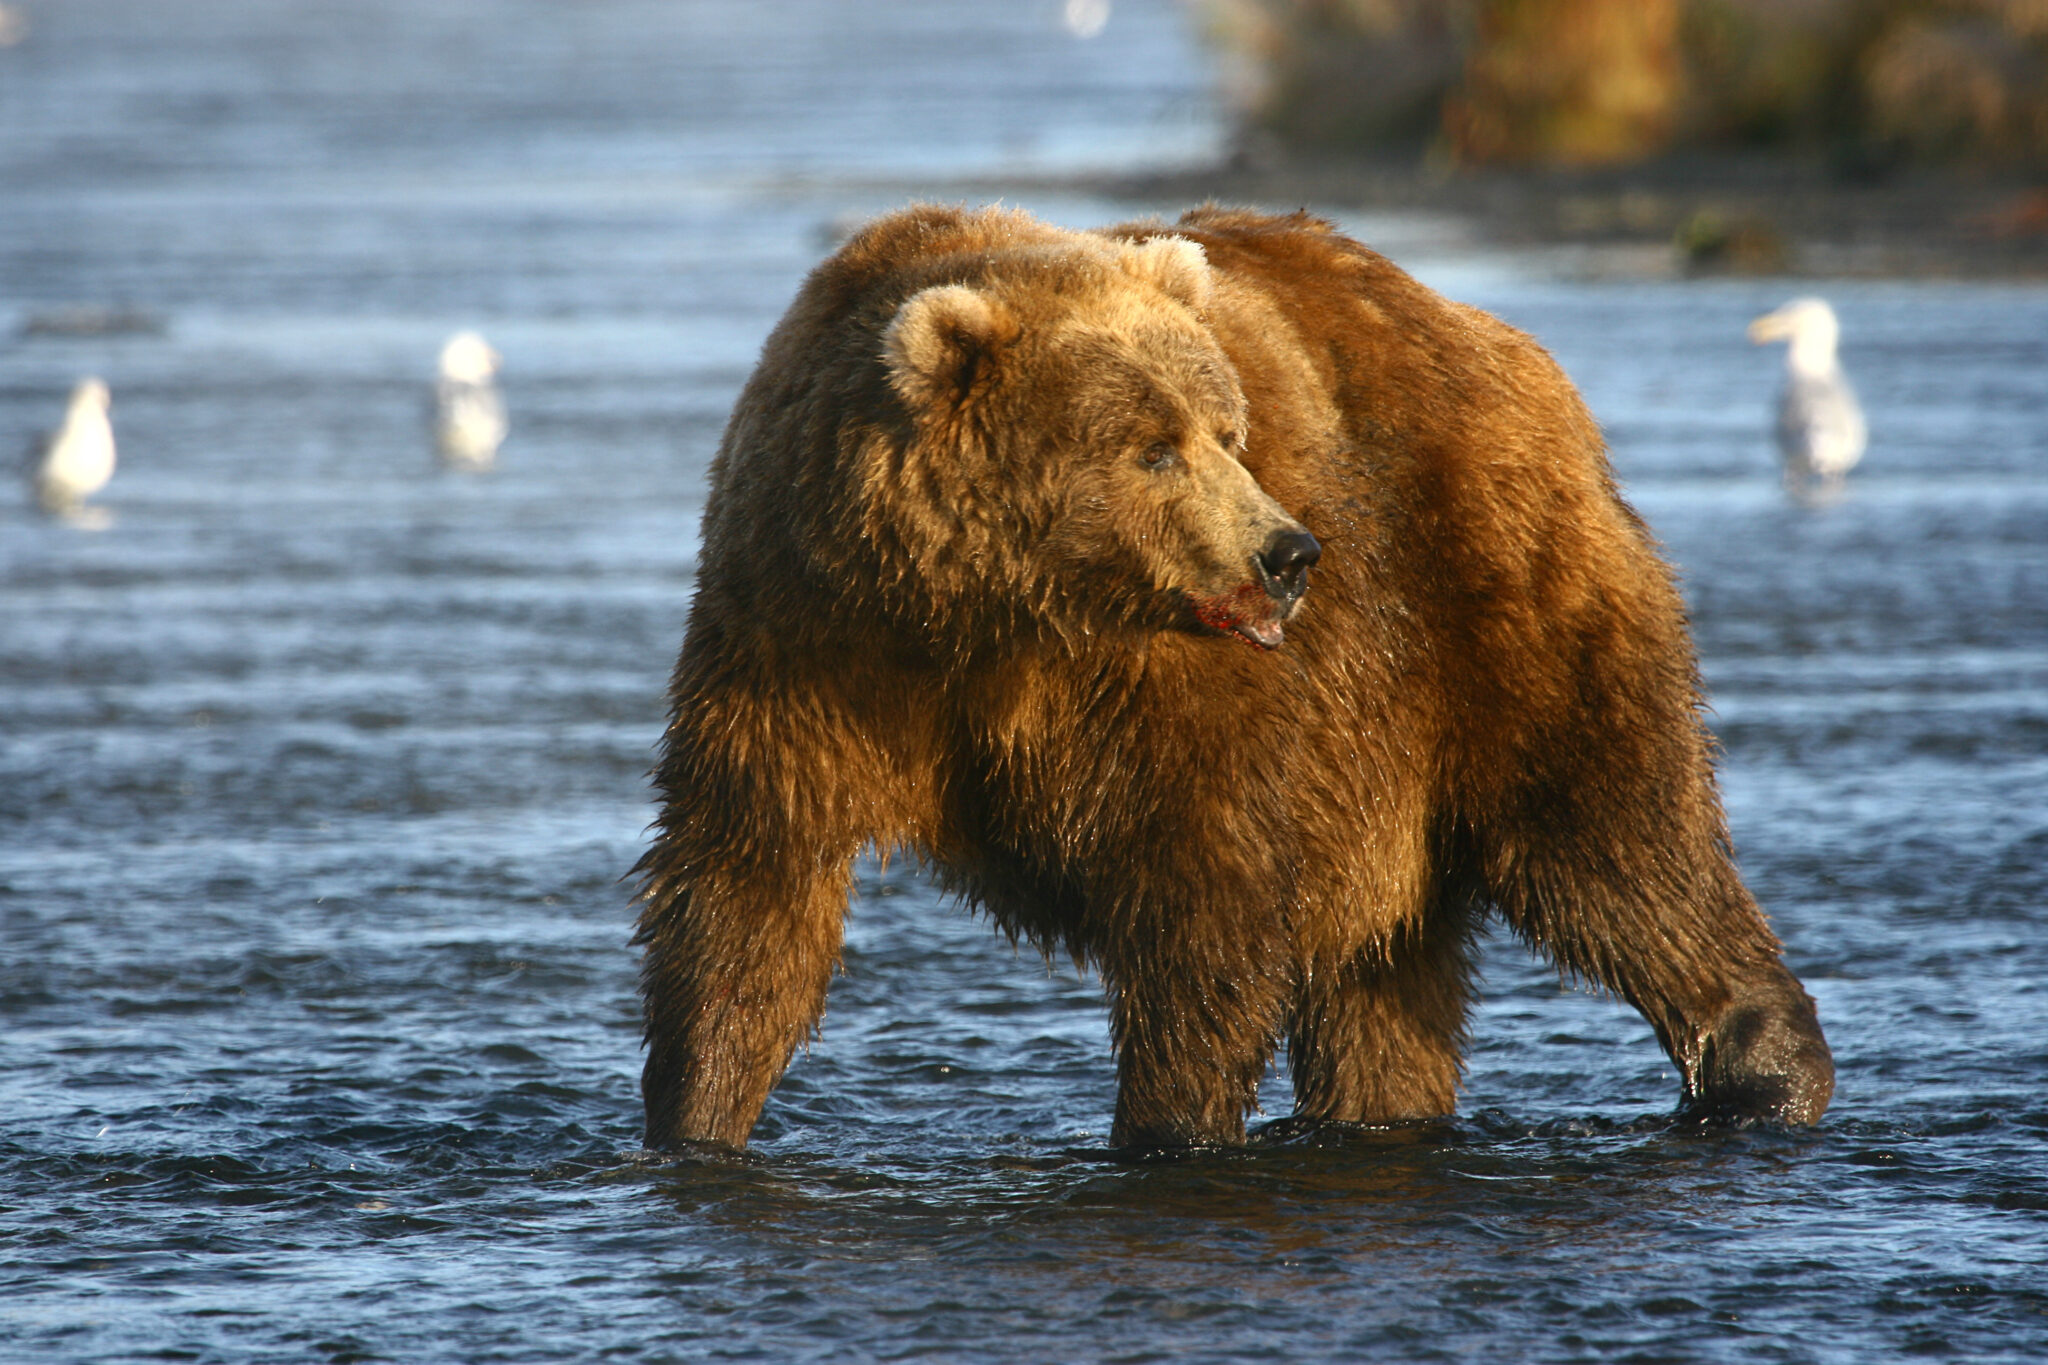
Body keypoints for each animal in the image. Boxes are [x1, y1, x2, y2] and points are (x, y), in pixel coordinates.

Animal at [632, 203, 1834, 1151]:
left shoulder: (1171, 697)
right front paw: (694, 1116)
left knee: (1612, 840)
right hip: (1382, 746)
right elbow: (747, 886)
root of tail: (1508, 349)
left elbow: (1205, 896)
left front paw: (1169, 1123)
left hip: (1487, 607)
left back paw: (1762, 1070)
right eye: (1153, 445)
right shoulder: (806, 645)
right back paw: (1379, 1112)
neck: (991, 613)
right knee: (1384, 972)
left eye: (1228, 428)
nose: (1287, 553)